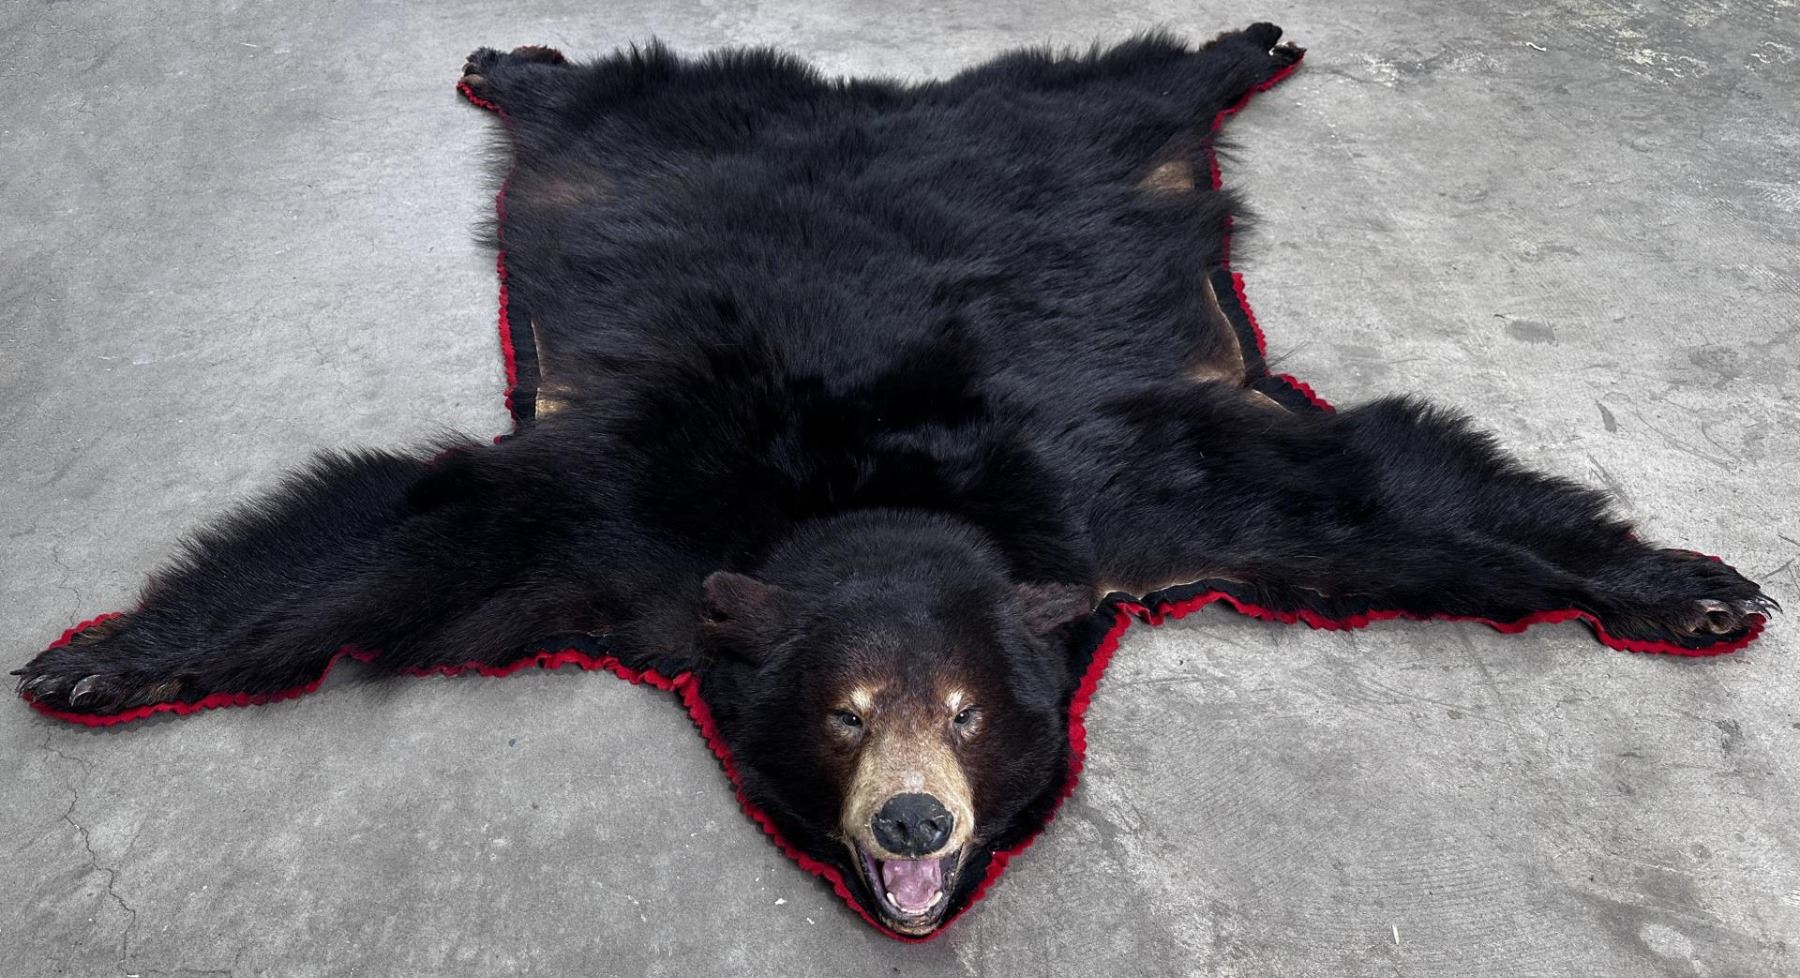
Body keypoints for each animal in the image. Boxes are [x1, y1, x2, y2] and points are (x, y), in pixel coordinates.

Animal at [14, 24, 1772, 937]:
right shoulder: (631, 523)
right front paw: (107, 653)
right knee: (605, 93)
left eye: (976, 711)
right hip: (650, 138)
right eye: (849, 712)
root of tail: (878, 96)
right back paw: (515, 60)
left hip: (1067, 139)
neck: (878, 496)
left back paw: (1237, 45)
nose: (917, 819)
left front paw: (1684, 582)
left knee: (1121, 85)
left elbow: (1373, 500)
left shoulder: (1120, 483)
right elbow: (406, 535)